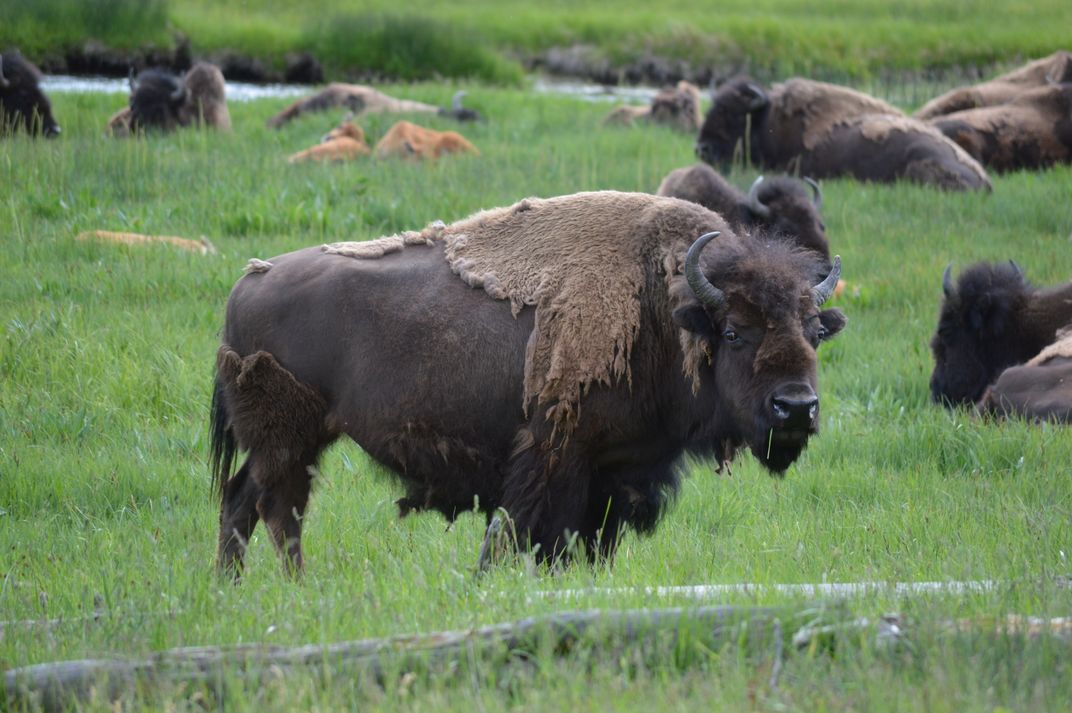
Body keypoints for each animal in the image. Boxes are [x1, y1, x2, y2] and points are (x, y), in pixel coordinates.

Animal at [210, 191, 845, 577]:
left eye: (815, 331)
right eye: (734, 332)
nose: (796, 408)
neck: (663, 311)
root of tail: (244, 284)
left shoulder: (615, 474)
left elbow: (588, 547)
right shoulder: (553, 455)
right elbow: (516, 534)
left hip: (280, 442)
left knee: (240, 500)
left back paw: (230, 587)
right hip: (290, 439)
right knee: (279, 509)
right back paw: (292, 586)